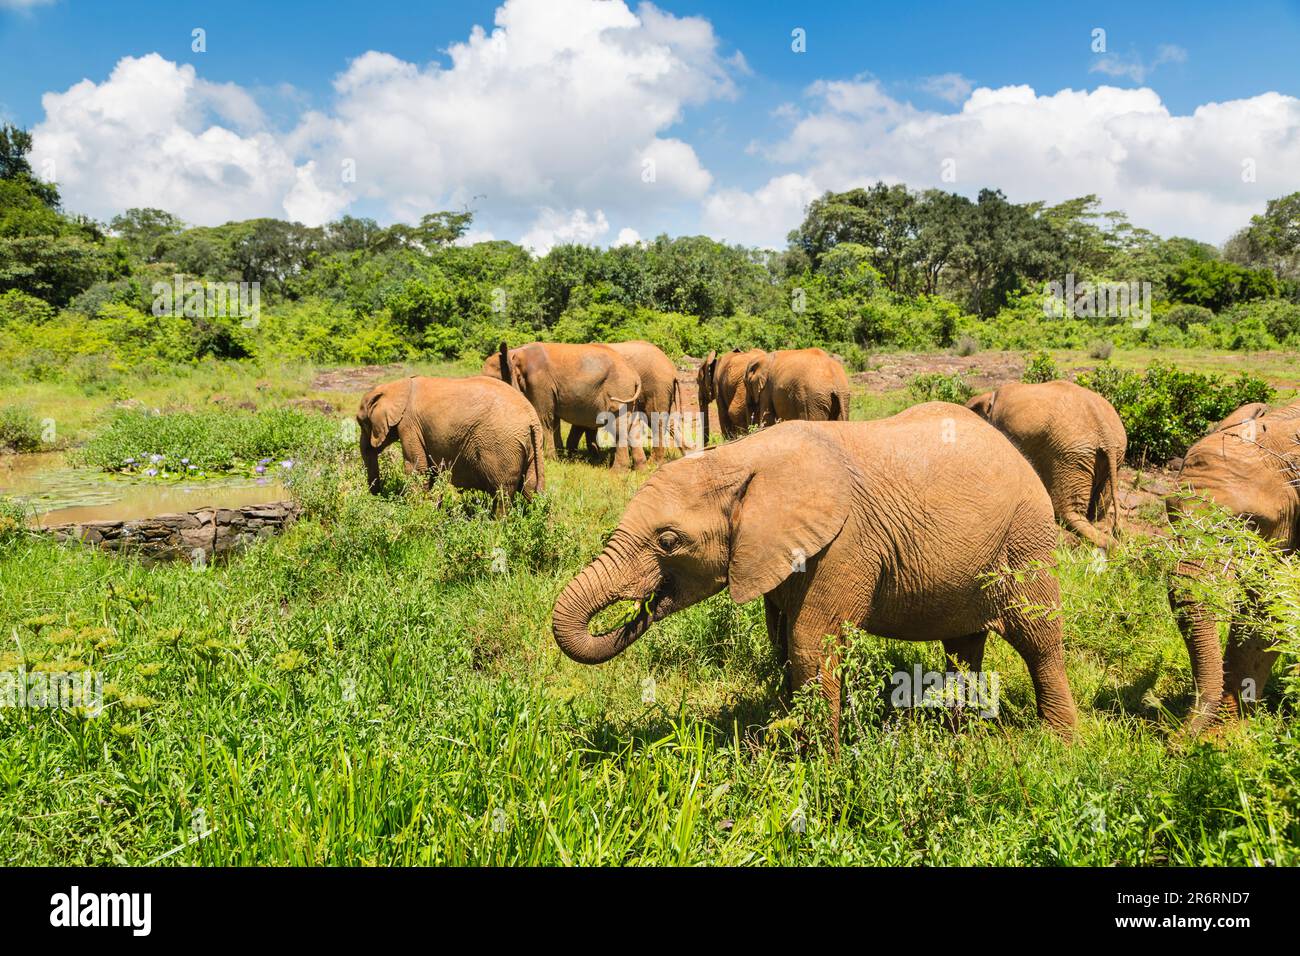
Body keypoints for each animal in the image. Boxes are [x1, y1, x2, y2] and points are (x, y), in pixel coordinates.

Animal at [356, 375, 544, 501]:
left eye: (361, 422)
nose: (377, 497)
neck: (397, 385)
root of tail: (532, 417)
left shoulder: (409, 425)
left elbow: (417, 468)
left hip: (501, 446)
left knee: (501, 492)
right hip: (529, 446)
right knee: (529, 488)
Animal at [482, 342, 646, 470]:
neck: (516, 352)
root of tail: (634, 374)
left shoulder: (539, 382)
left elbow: (544, 418)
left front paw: (550, 459)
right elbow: (553, 420)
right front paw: (559, 458)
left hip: (619, 389)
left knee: (618, 425)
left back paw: (617, 471)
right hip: (627, 393)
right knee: (633, 425)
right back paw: (640, 469)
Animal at [551, 405, 1079, 745]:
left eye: (668, 541)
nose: (639, 609)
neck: (741, 458)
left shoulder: (845, 544)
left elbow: (811, 641)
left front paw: (821, 766)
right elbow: (782, 641)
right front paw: (787, 739)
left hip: (1026, 540)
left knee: (1039, 638)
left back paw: (1058, 742)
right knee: (962, 648)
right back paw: (957, 739)